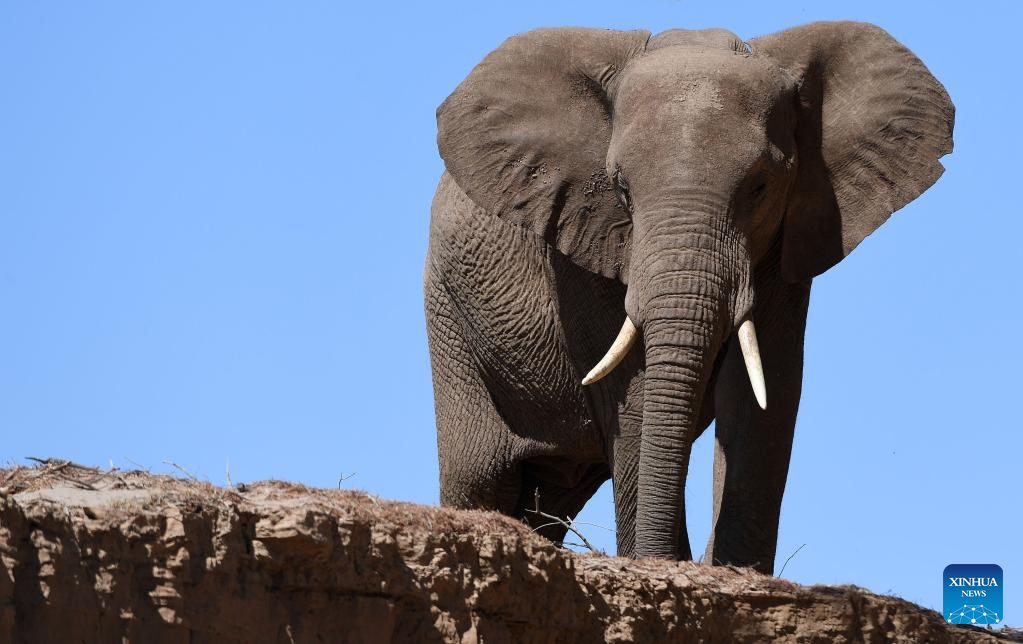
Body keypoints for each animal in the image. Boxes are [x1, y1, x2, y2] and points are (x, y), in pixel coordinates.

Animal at [424, 21, 953, 572]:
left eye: (761, 186)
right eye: (621, 189)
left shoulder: (787, 243)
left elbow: (764, 391)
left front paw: (735, 572)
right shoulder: (582, 244)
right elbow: (634, 398)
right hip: (450, 324)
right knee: (479, 482)